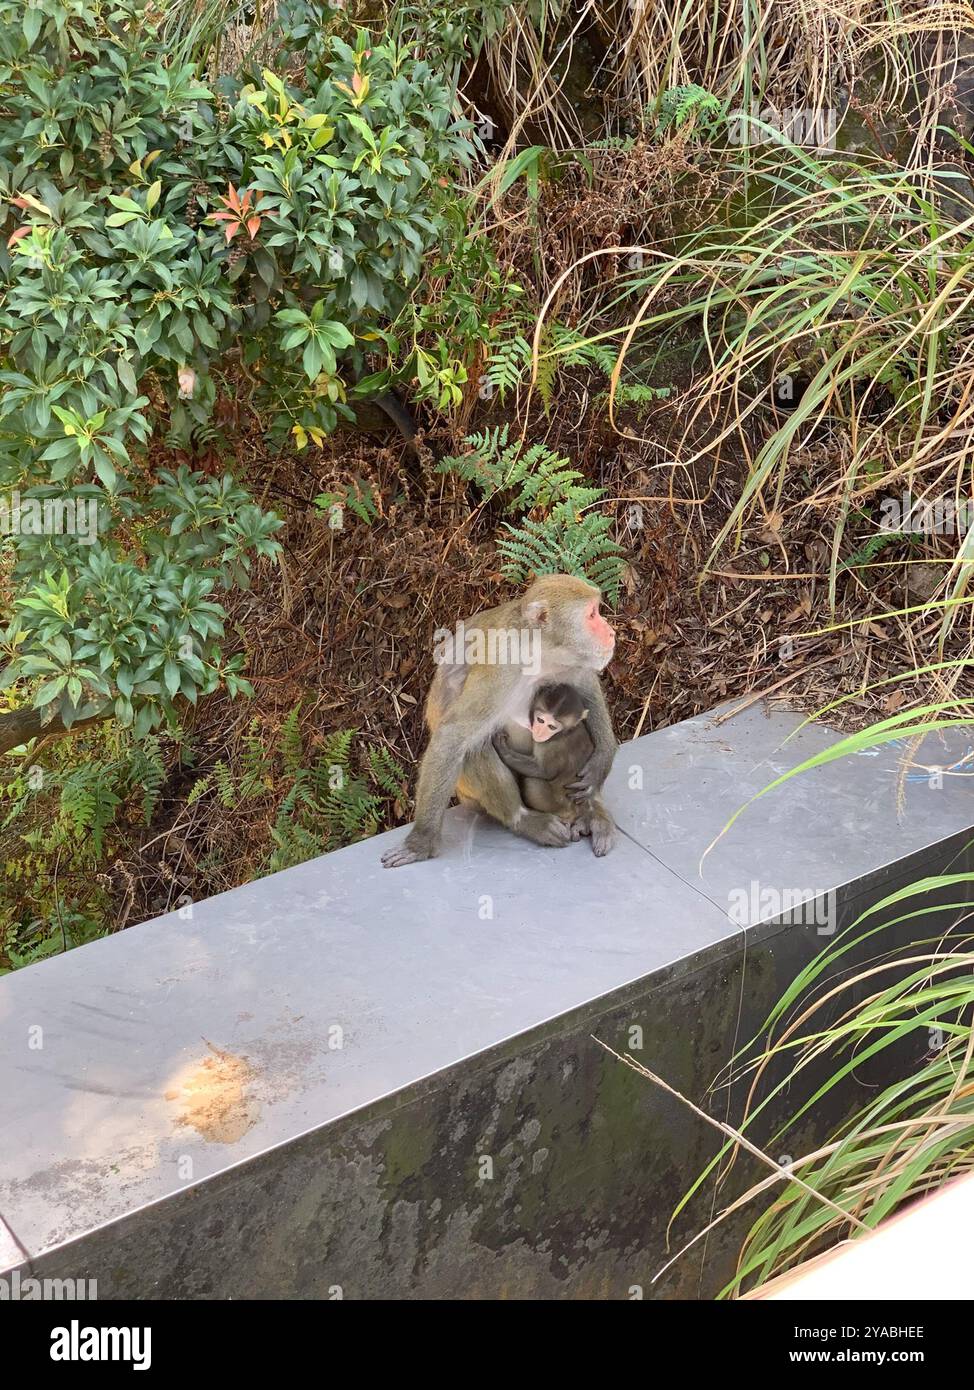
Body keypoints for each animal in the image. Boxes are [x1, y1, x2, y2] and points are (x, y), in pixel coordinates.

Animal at [381, 574, 617, 867]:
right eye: (592, 615)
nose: (611, 631)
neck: (538, 652)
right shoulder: (500, 670)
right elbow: (452, 735)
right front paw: (421, 842)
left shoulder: (568, 661)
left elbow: (584, 687)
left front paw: (602, 760)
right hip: (470, 796)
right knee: (474, 746)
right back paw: (522, 819)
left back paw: (592, 810)